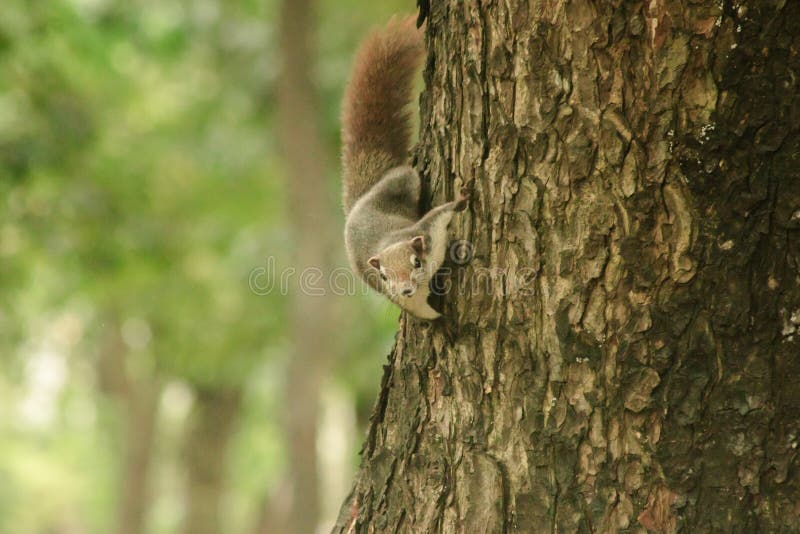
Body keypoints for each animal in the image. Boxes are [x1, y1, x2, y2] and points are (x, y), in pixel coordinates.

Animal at [341, 16, 468, 320]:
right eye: (384, 277)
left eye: (416, 262)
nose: (405, 289)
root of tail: (357, 205)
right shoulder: (405, 301)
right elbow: (424, 313)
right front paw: (445, 321)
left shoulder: (429, 230)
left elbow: (442, 212)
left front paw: (463, 200)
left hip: (405, 179)